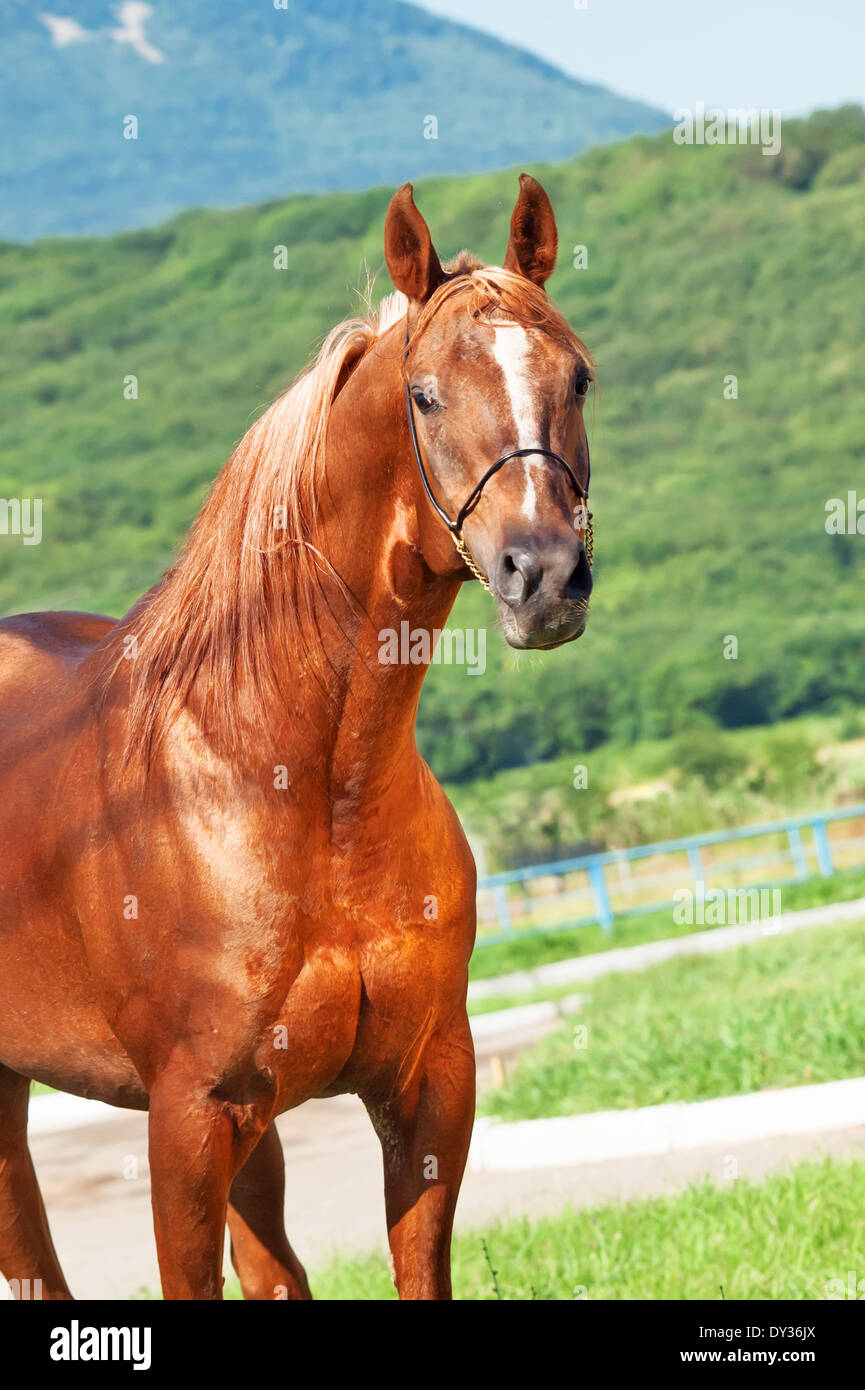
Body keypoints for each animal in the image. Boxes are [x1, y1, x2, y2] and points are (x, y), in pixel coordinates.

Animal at [0, 174, 594, 1300]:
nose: (543, 575)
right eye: (425, 396)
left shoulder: (427, 1089)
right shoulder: (188, 1122)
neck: (293, 779)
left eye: (578, 375)